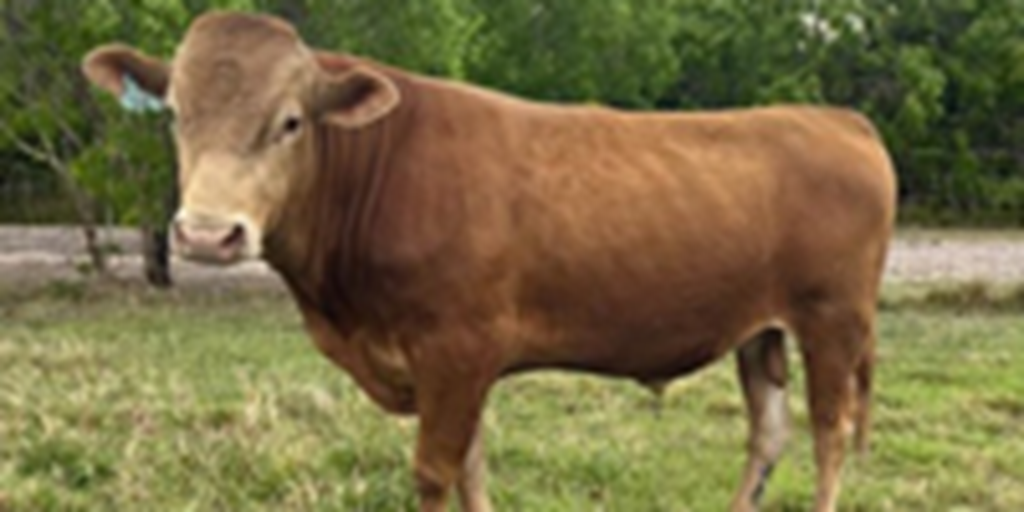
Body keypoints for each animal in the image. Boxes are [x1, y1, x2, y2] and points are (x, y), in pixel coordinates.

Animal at [83, 11, 896, 512]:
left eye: (290, 122)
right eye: (175, 114)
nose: (206, 233)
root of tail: (836, 118)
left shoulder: (456, 348)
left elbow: (434, 471)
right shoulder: (456, 365)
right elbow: (471, 466)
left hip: (833, 321)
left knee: (828, 431)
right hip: (761, 330)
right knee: (769, 433)